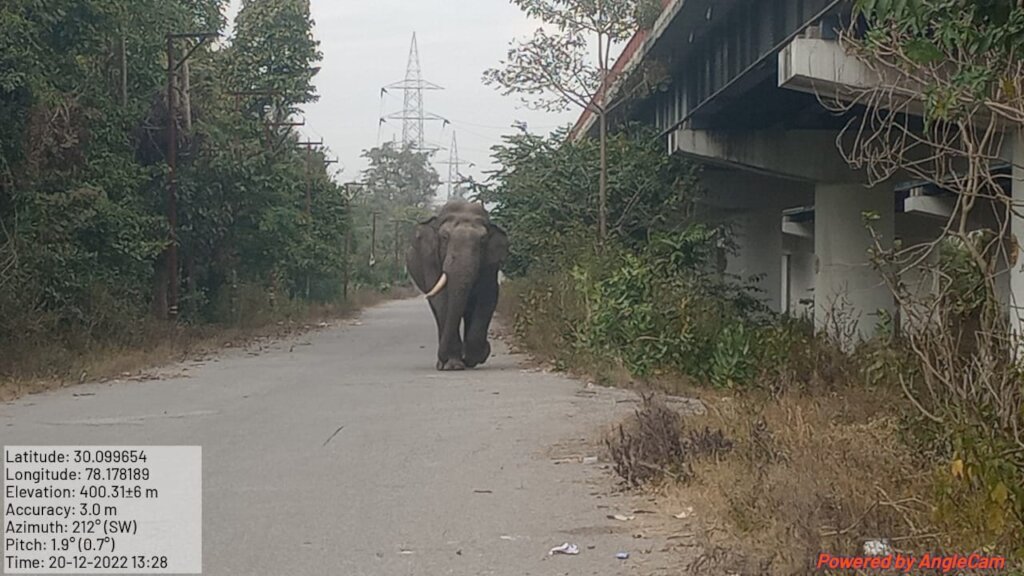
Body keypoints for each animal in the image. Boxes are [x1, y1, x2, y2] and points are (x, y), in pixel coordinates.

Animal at [406, 200, 509, 371]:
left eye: (483, 239)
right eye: (445, 237)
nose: (442, 359)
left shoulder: (490, 263)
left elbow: (488, 296)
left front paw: (476, 356)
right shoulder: (429, 258)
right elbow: (441, 300)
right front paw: (453, 365)